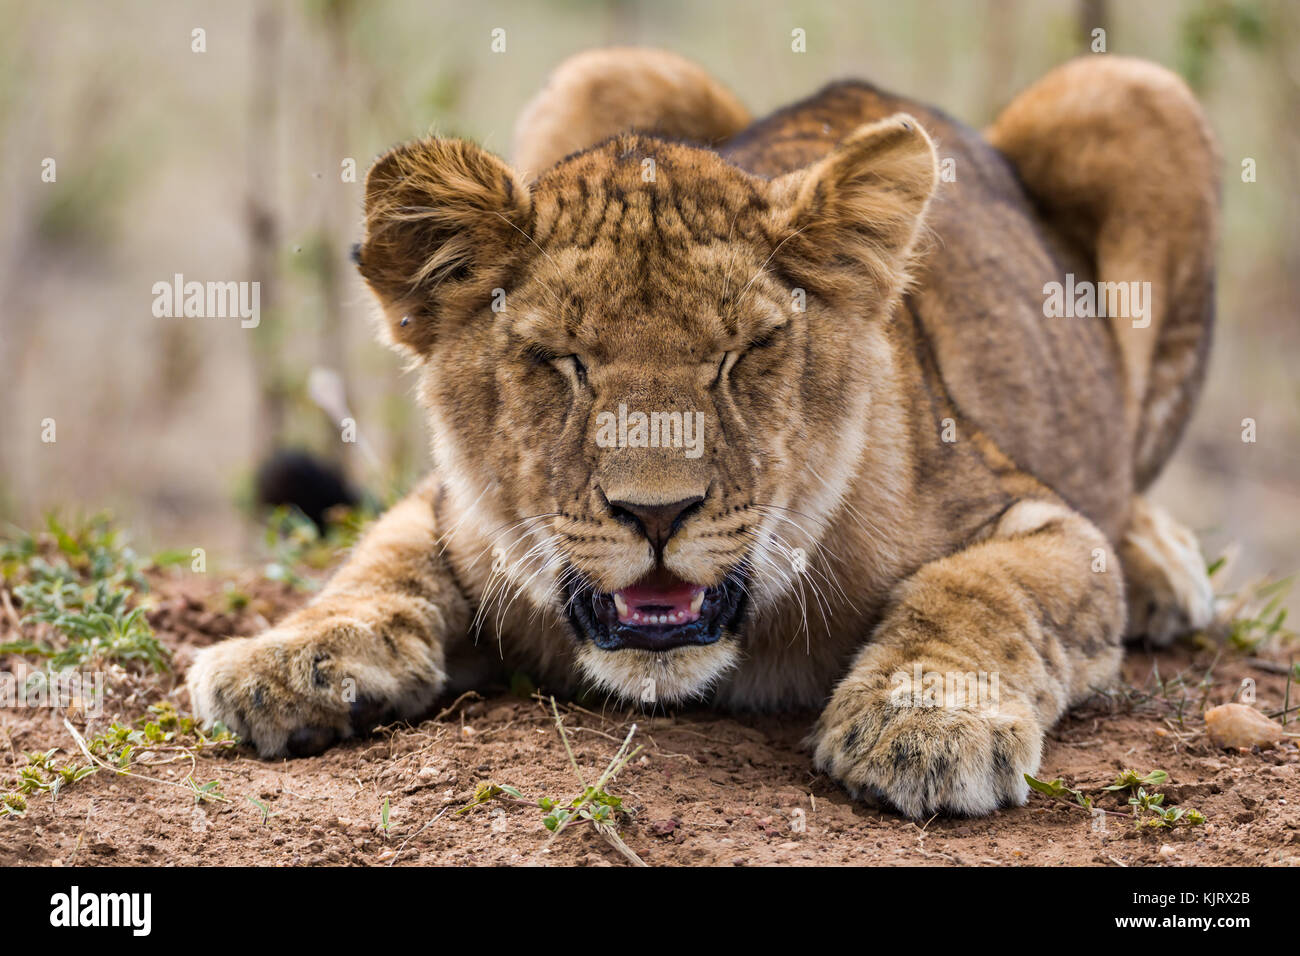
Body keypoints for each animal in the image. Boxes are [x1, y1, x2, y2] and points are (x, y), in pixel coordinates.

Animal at [187, 48, 1219, 817]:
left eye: (745, 353)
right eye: (563, 361)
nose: (657, 515)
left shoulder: (1035, 516)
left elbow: (981, 590)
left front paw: (922, 721)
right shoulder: (456, 512)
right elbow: (380, 562)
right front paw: (285, 659)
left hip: (1137, 93)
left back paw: (1163, 569)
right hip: (601, 70)